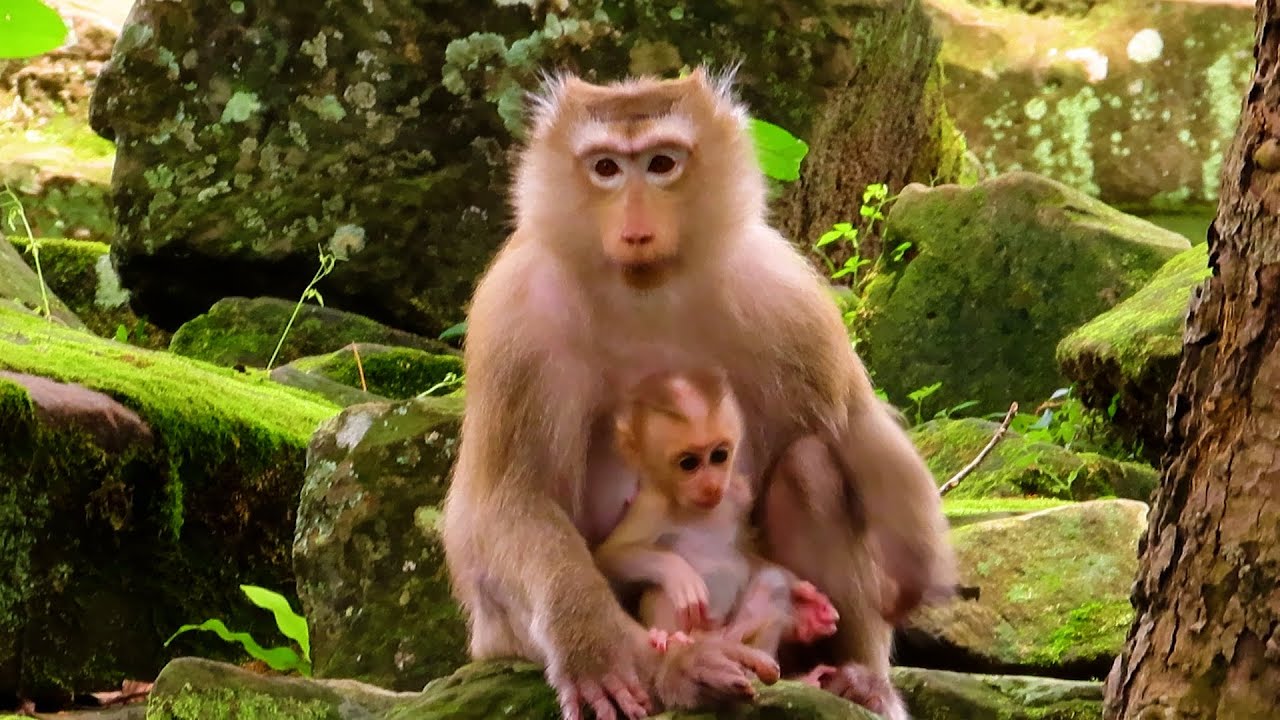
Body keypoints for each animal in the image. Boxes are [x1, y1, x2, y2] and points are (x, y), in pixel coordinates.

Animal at [593, 367, 840, 677]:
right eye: (689, 463)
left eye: (719, 455)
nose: (711, 486)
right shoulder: (651, 506)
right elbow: (611, 554)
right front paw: (680, 574)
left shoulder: (739, 492)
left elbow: (751, 552)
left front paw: (808, 602)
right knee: (666, 598)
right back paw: (672, 637)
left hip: (733, 632)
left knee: (771, 586)